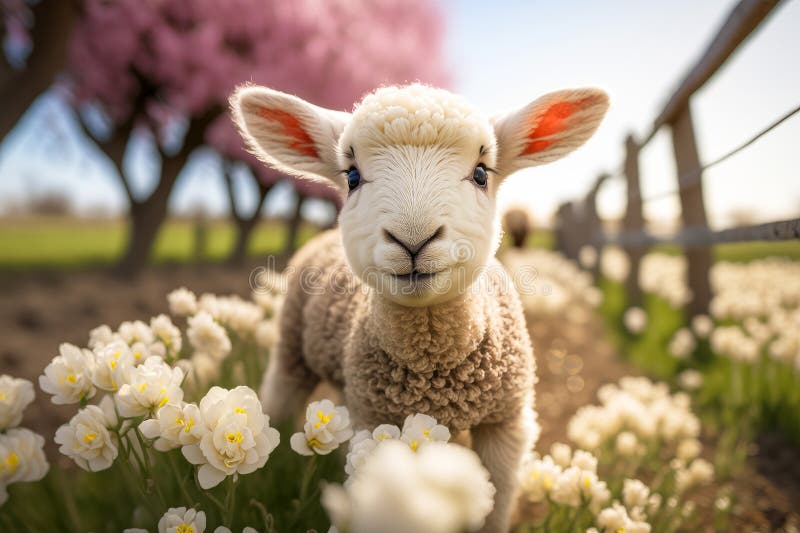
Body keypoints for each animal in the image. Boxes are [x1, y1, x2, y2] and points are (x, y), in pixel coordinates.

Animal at [232, 83, 608, 533]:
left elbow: (495, 505)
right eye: (352, 176)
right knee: (281, 395)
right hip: (293, 347)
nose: (413, 238)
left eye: (481, 173)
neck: (434, 369)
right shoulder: (376, 423)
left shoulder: (505, 423)